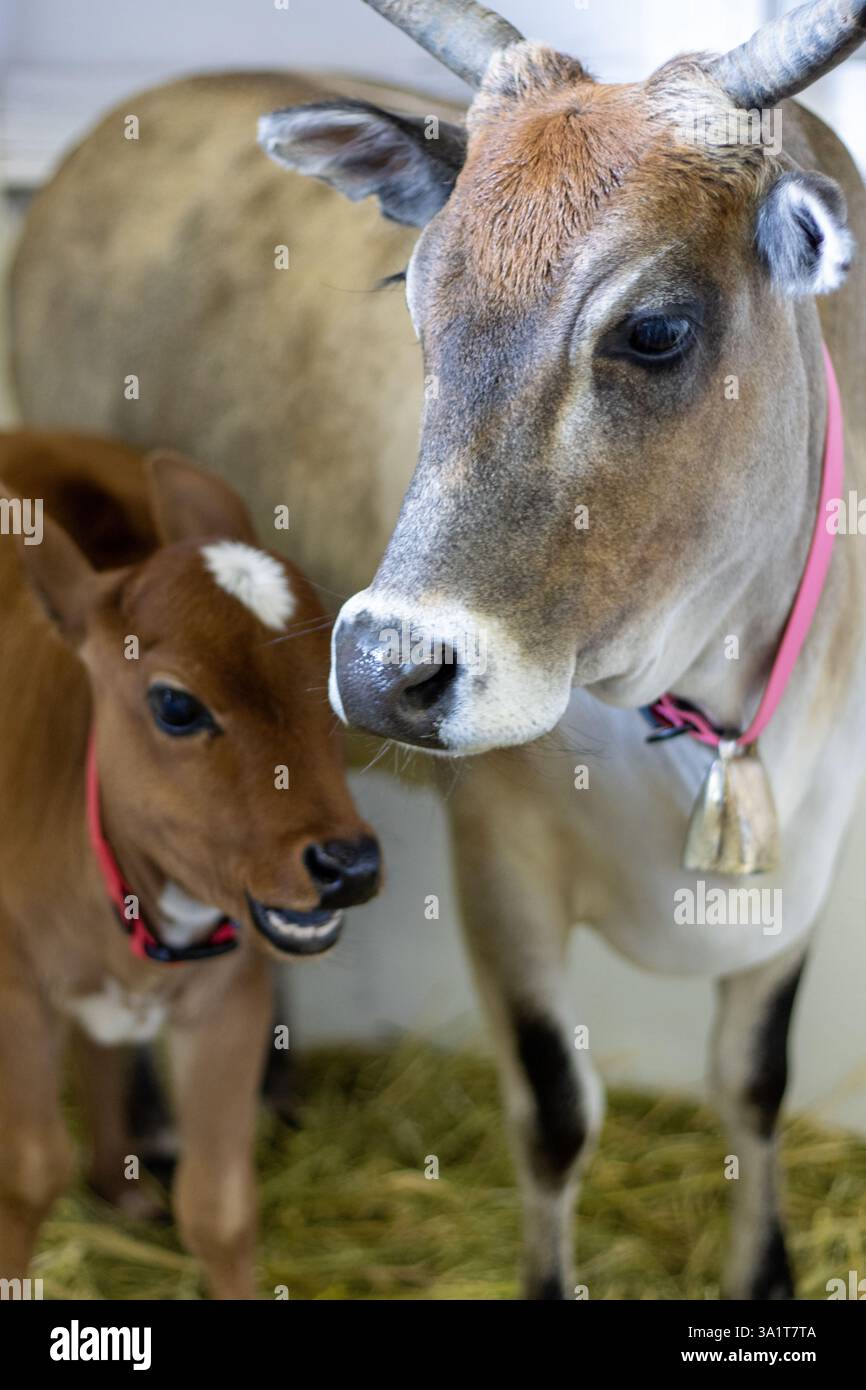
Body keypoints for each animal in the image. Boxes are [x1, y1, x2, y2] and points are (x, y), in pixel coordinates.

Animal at [0, 430, 380, 1298]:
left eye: (334, 680)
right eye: (176, 704)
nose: (347, 864)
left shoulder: (231, 994)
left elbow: (219, 1208)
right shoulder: (13, 986)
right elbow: (29, 1174)